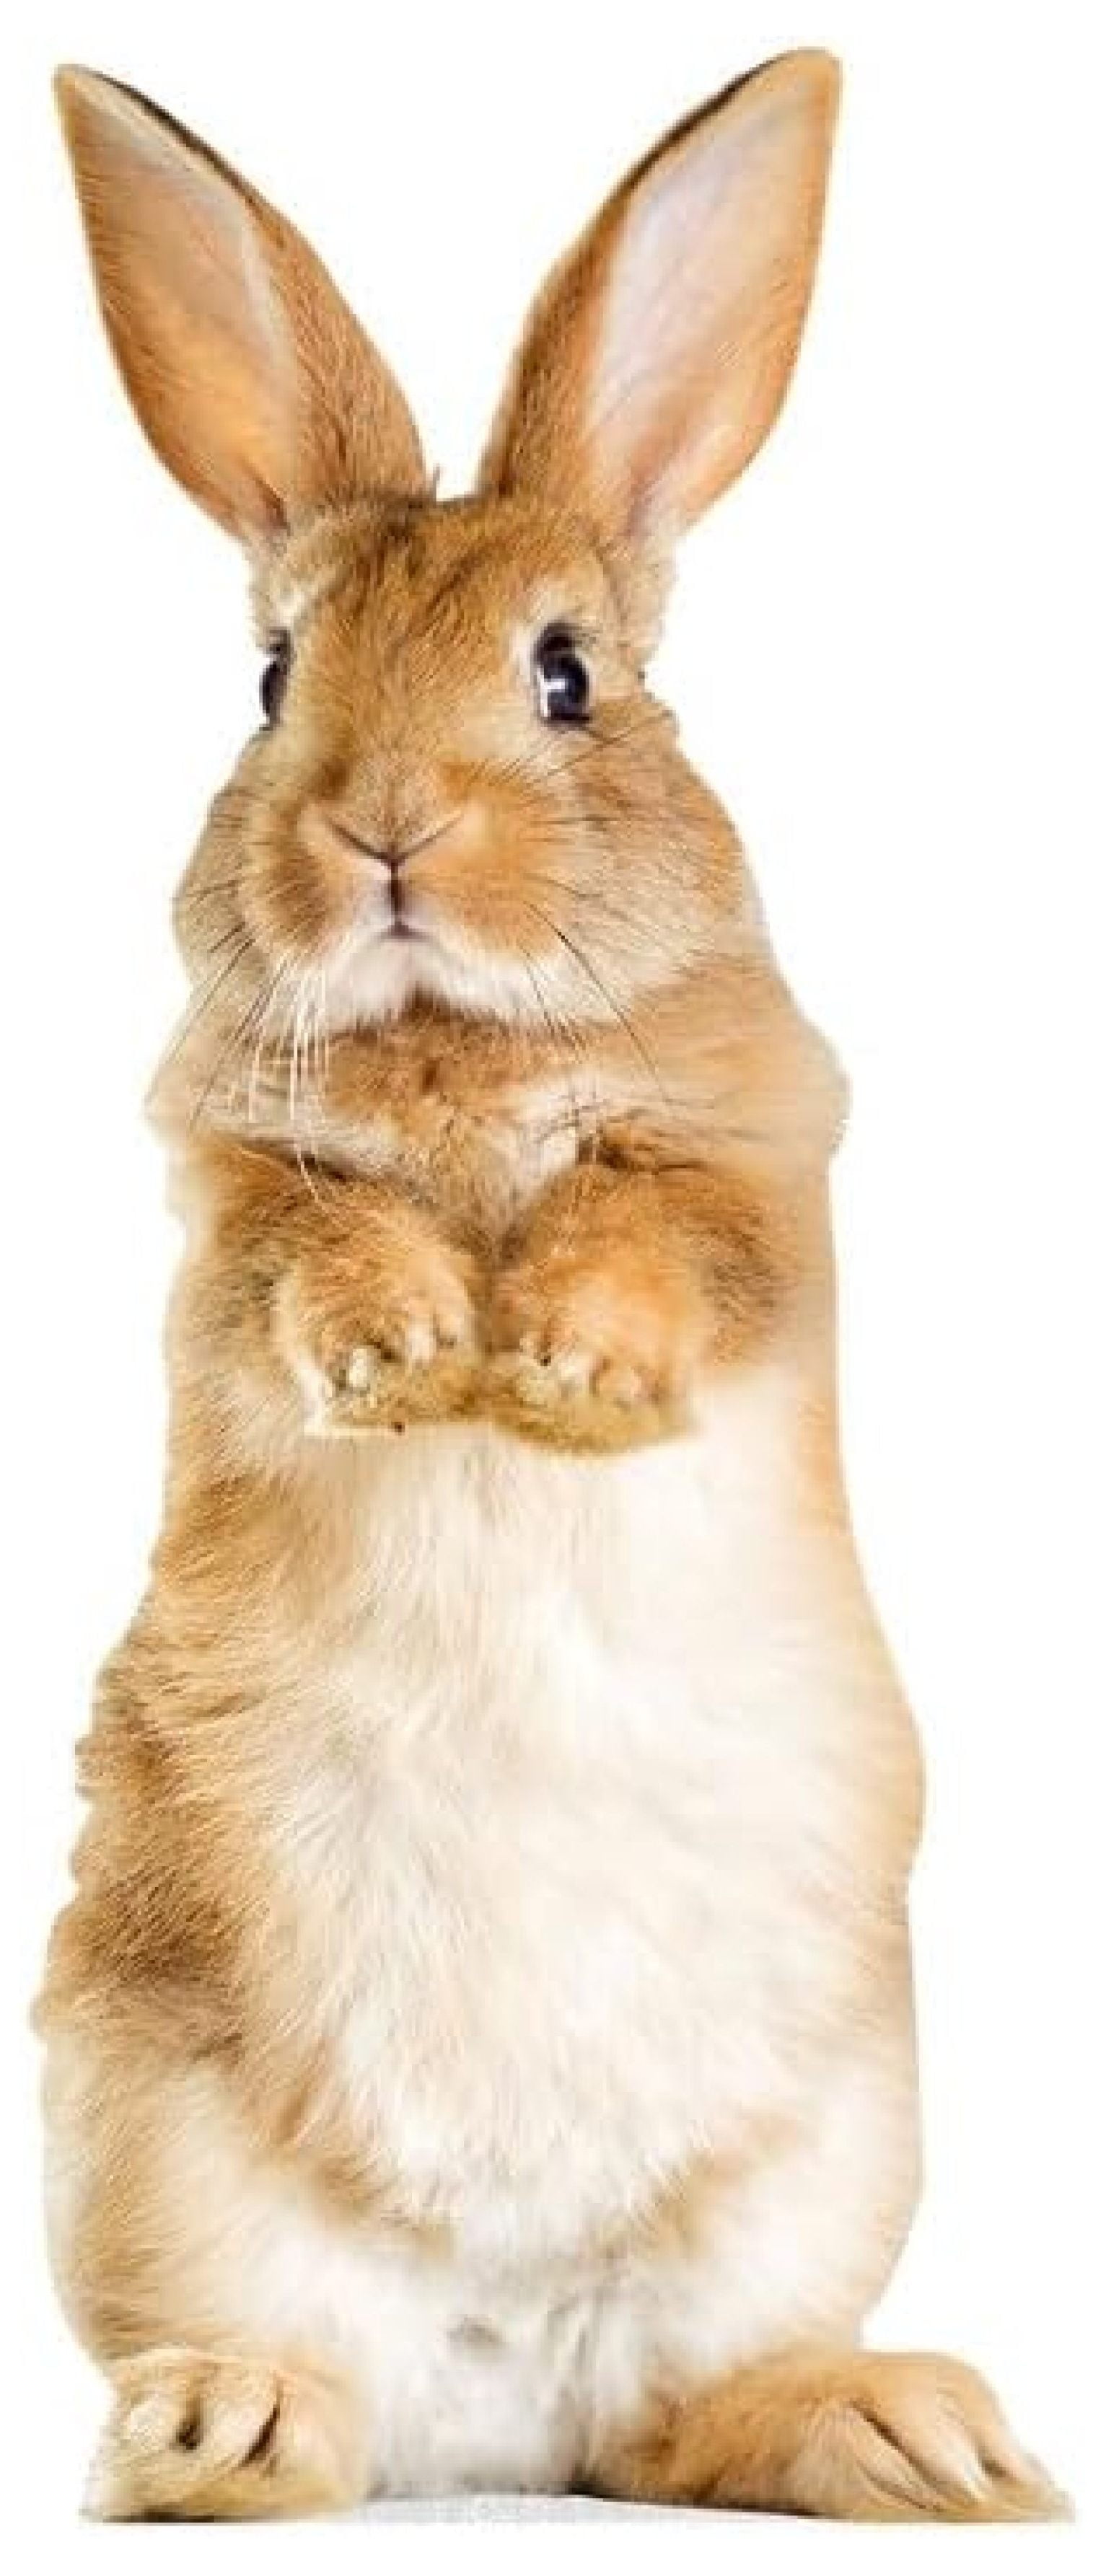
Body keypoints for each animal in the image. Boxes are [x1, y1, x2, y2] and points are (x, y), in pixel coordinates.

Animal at [37, 53, 1065, 2522]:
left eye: (568, 675)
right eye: (271, 676)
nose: (384, 829)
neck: (459, 1039)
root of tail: (498, 2378)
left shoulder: (752, 1179)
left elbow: (654, 1245)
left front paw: (557, 1371)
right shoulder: (230, 1204)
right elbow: (313, 1263)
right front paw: (420, 1354)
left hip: (814, 2168)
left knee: (695, 2411)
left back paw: (917, 2433)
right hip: (145, 2118)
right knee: (297, 2393)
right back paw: (221, 2425)